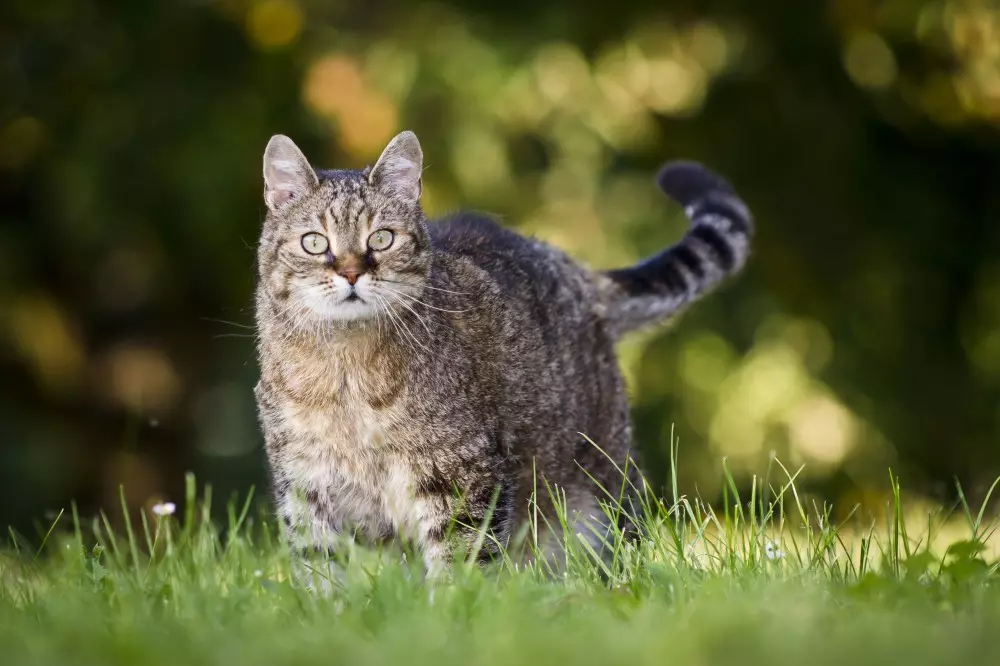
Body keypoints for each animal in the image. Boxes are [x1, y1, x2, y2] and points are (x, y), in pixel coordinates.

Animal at [252, 130, 752, 576]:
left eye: (382, 239)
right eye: (314, 242)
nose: (352, 273)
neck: (344, 368)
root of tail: (577, 270)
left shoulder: (461, 475)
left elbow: (458, 567)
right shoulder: (305, 486)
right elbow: (321, 573)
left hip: (604, 494)